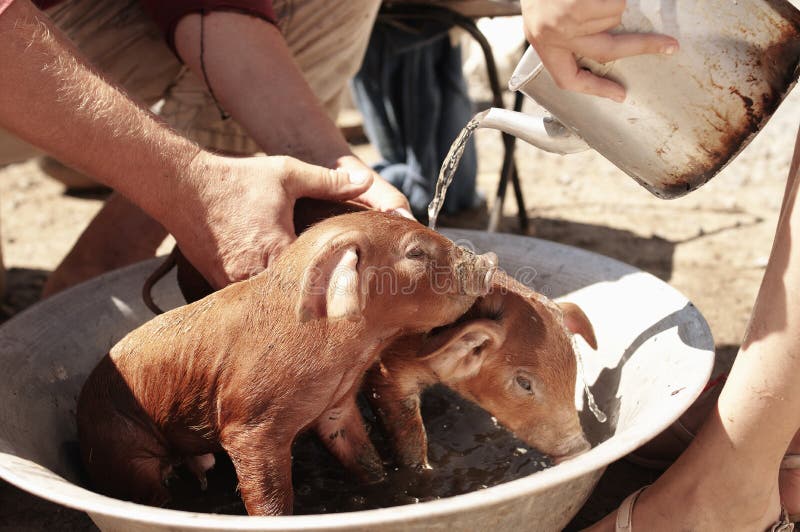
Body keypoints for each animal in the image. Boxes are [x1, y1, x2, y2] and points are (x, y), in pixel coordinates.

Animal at [77, 210, 497, 516]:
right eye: (415, 253)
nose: (488, 259)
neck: (348, 357)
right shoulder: (250, 428)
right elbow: (270, 497)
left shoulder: (335, 409)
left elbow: (364, 459)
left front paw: (381, 487)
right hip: (121, 445)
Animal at [360, 271, 597, 472]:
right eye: (524, 383)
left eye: (573, 373)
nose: (581, 448)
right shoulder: (389, 372)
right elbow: (411, 436)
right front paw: (425, 468)